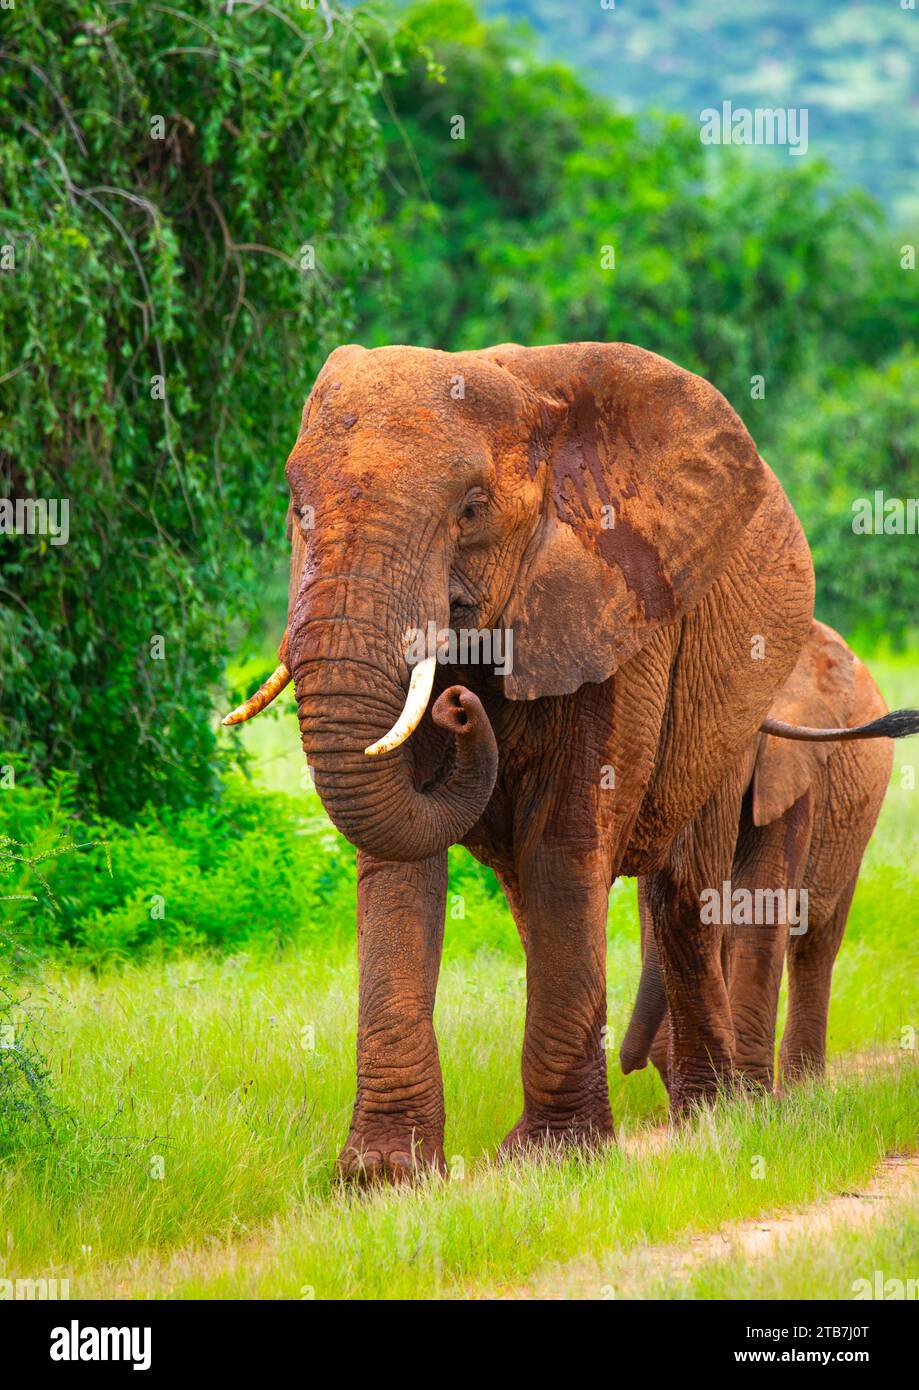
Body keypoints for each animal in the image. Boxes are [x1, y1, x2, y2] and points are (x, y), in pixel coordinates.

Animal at [620, 619, 909, 1094]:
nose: (628, 1065)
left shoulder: (793, 770)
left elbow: (759, 900)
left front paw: (750, 1094)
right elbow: (660, 906)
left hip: (854, 832)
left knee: (816, 942)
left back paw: (802, 1092)